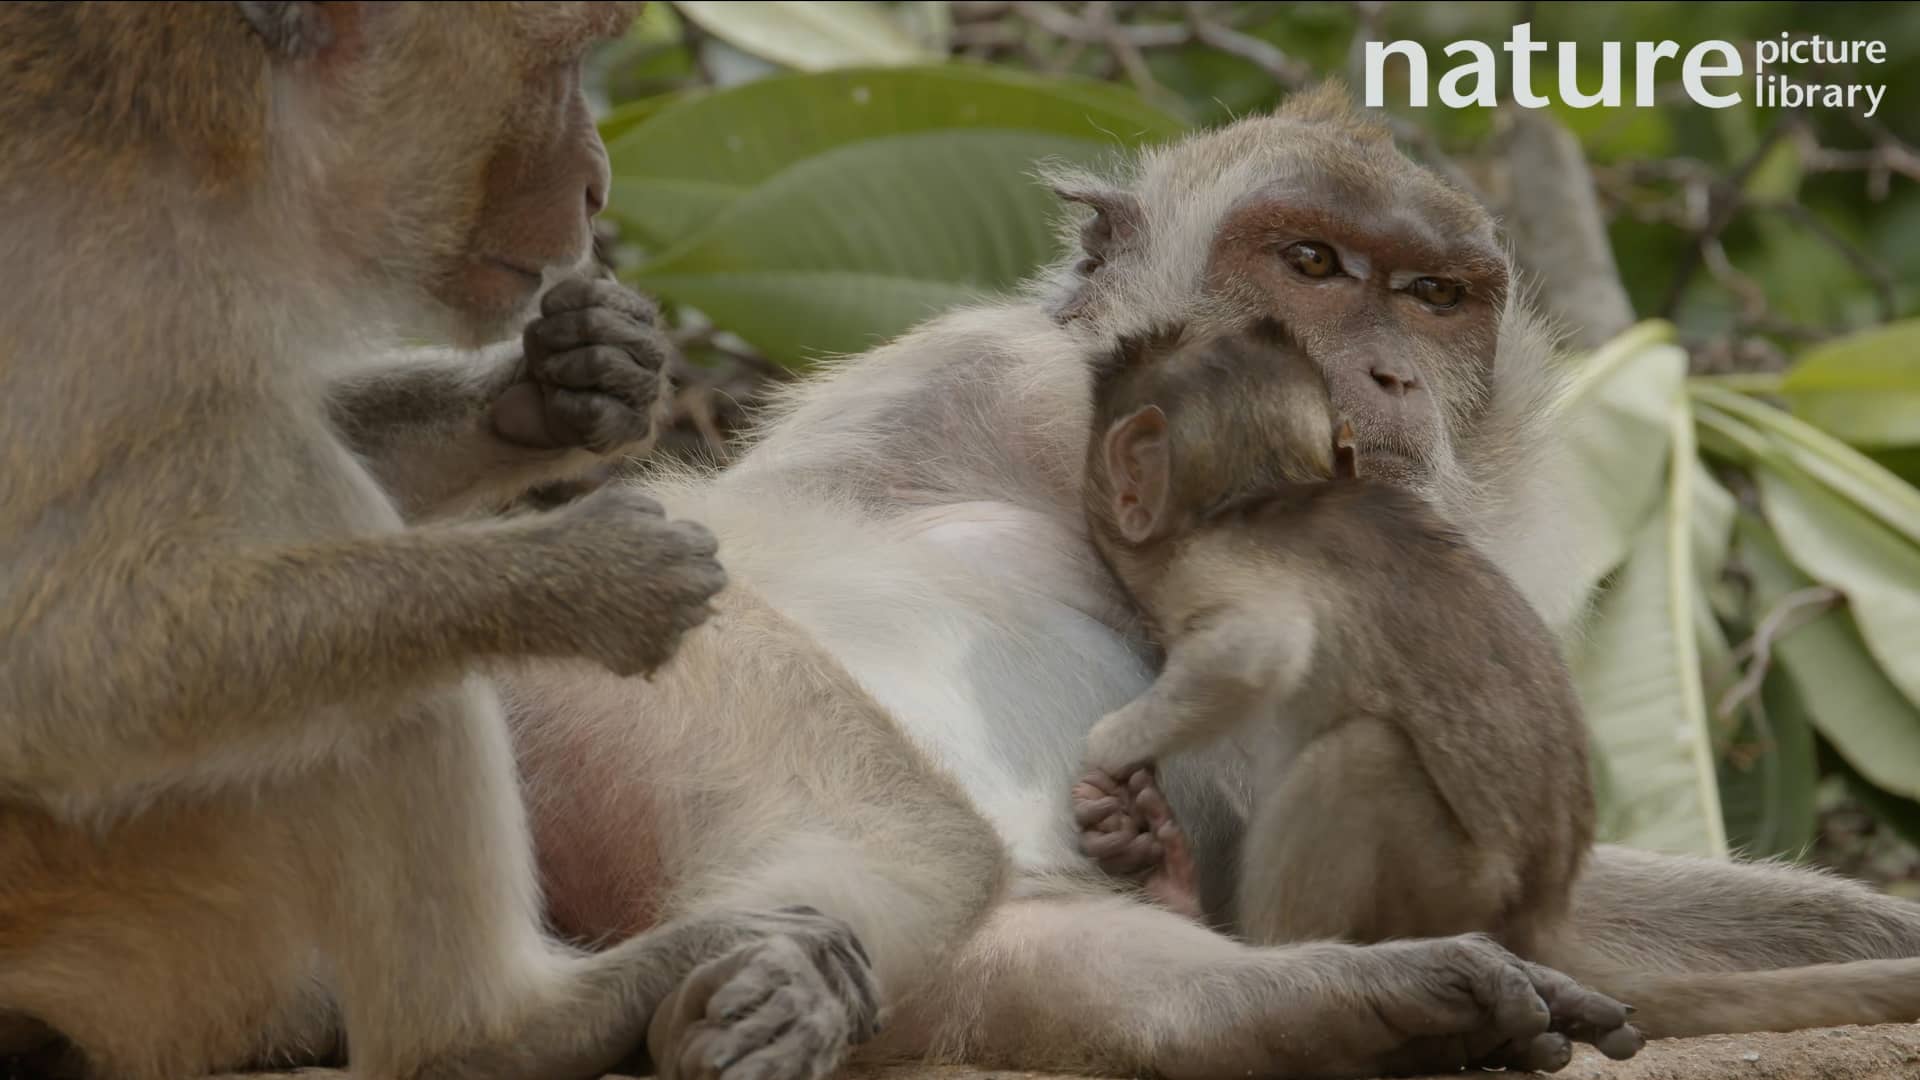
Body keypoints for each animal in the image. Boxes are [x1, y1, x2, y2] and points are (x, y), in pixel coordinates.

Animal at [0, 4, 901, 1078]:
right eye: (557, 64)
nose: (599, 183)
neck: (201, 137)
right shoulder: (117, 295)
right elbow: (57, 672)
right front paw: (576, 580)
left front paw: (566, 383)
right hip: (102, 891)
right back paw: (498, 1034)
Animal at [1068, 320, 1600, 977]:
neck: (1271, 491)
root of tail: (1542, 911)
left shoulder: (1203, 561)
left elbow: (1256, 648)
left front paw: (1108, 747)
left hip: (1453, 892)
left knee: (1362, 753)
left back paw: (1240, 931)